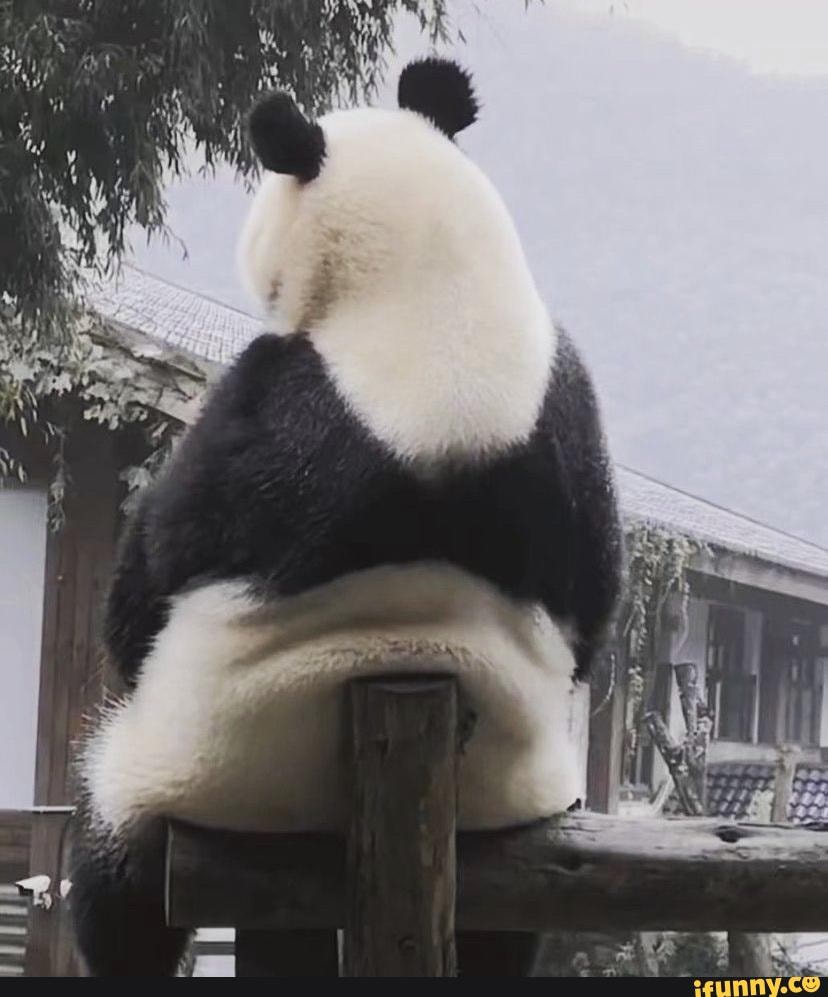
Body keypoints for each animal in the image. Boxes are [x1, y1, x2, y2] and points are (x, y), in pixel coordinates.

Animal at [69, 57, 622, 977]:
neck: (436, 294)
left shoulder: (268, 411)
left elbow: (151, 578)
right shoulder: (569, 398)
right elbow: (595, 596)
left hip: (204, 765)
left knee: (116, 864)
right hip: (515, 800)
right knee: (508, 916)